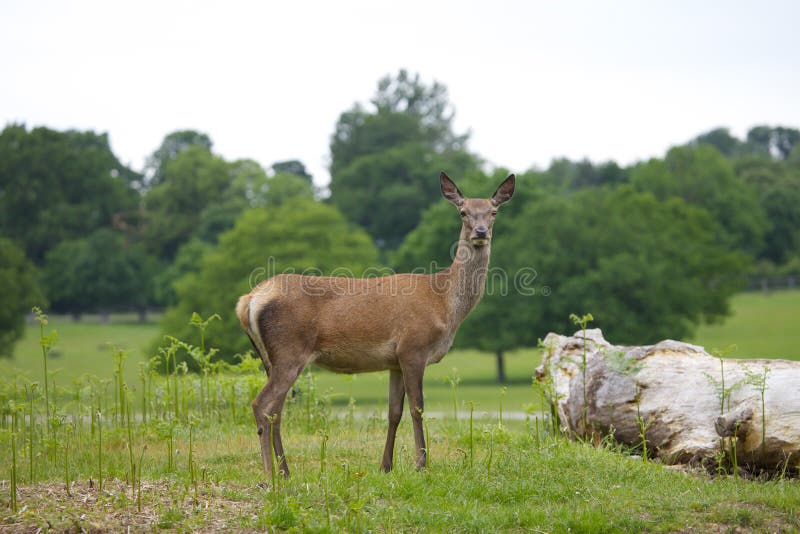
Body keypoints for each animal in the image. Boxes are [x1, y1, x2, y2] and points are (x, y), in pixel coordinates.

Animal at [236, 172, 515, 477]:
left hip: (270, 358)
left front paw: (386, 466)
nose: (481, 232)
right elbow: (417, 408)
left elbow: (394, 412)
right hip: (289, 350)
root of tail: (248, 300)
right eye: (463, 212)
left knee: (276, 410)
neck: (444, 303)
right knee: (261, 404)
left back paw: (285, 472)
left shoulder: (395, 361)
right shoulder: (413, 347)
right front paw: (421, 464)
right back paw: (269, 475)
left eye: (493, 211)